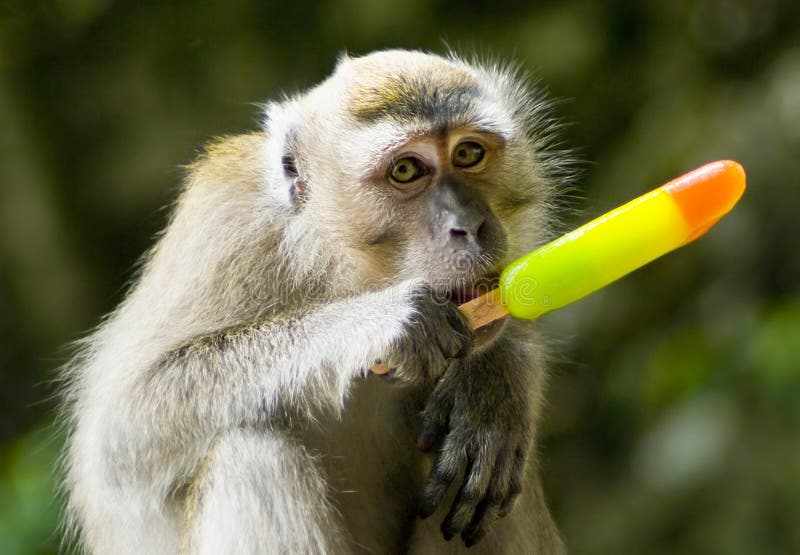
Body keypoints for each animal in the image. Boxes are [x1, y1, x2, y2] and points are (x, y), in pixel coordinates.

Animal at [59, 49, 570, 554]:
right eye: (406, 170)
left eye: (468, 153)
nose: (469, 224)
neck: (330, 263)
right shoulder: (225, 226)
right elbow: (120, 432)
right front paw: (381, 321)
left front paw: (492, 384)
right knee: (249, 454)